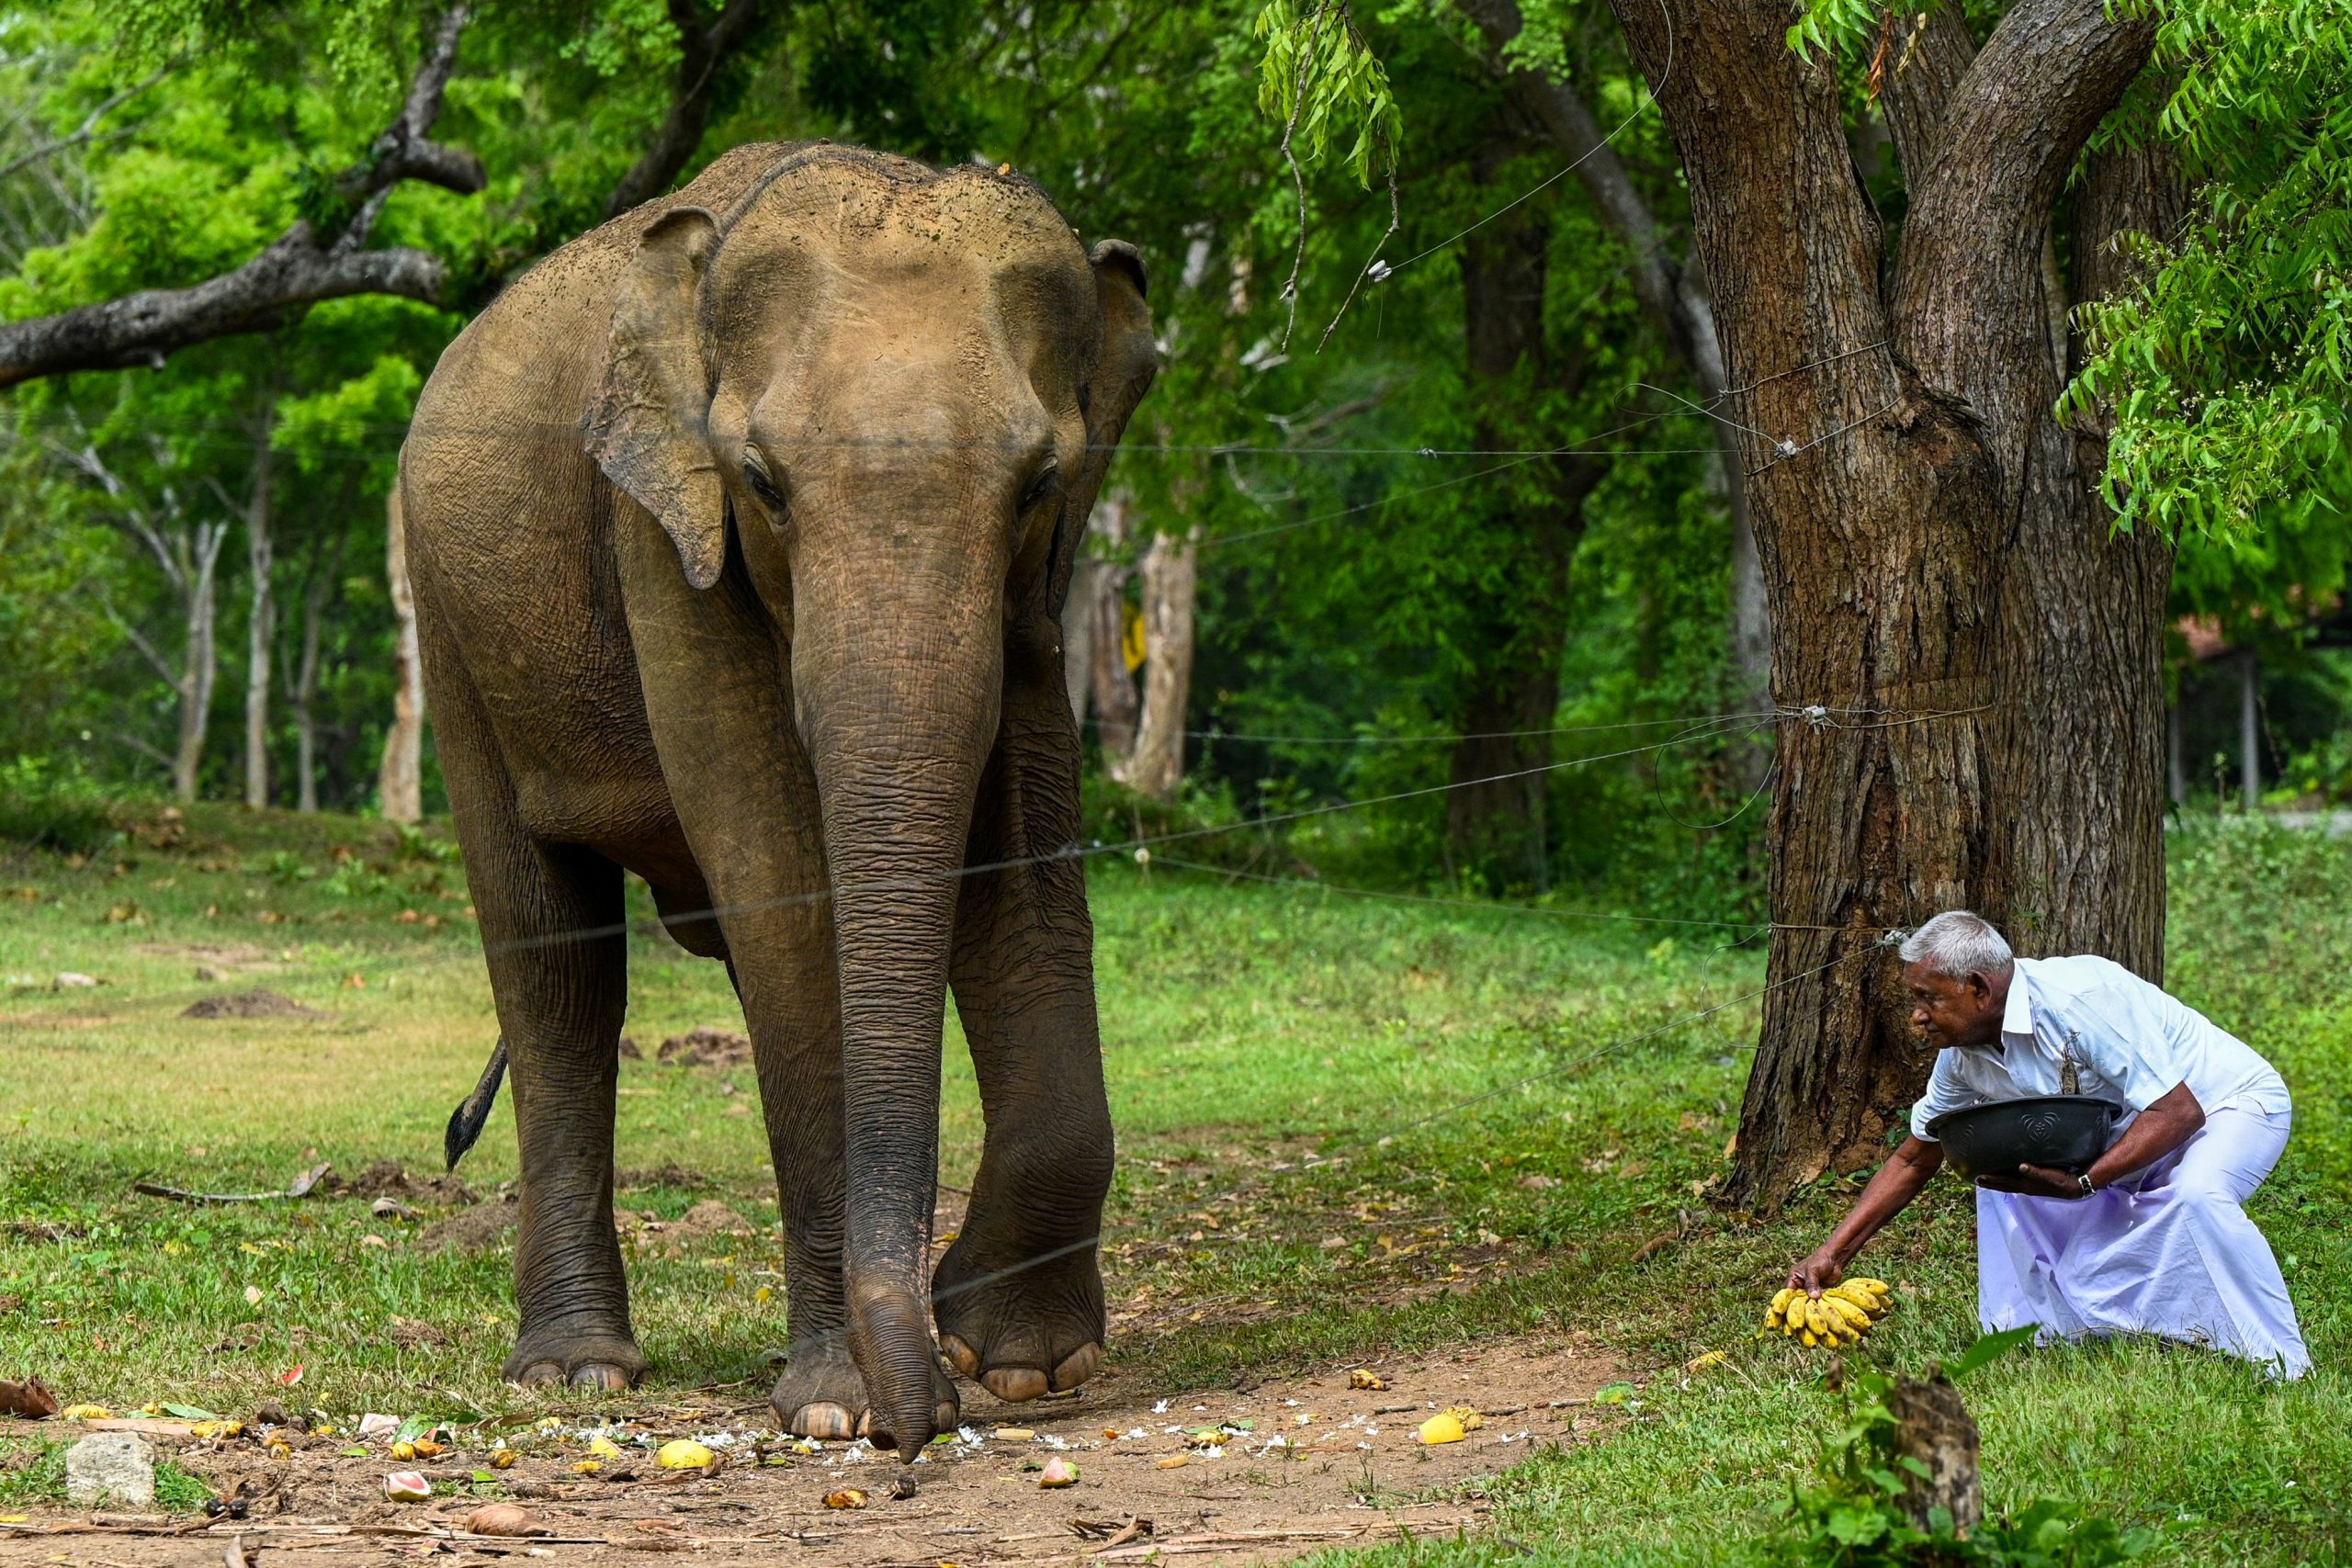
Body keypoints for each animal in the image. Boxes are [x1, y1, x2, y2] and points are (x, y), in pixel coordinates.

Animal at [399, 141, 1157, 1459]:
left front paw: (1016, 1360)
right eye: (762, 480)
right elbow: (784, 885)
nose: (911, 1444)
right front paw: (843, 1404)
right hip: (450, 629)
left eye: (1039, 484)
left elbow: (1021, 873)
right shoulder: (663, 539)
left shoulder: (1032, 606)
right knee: (555, 966)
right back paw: (577, 1372)